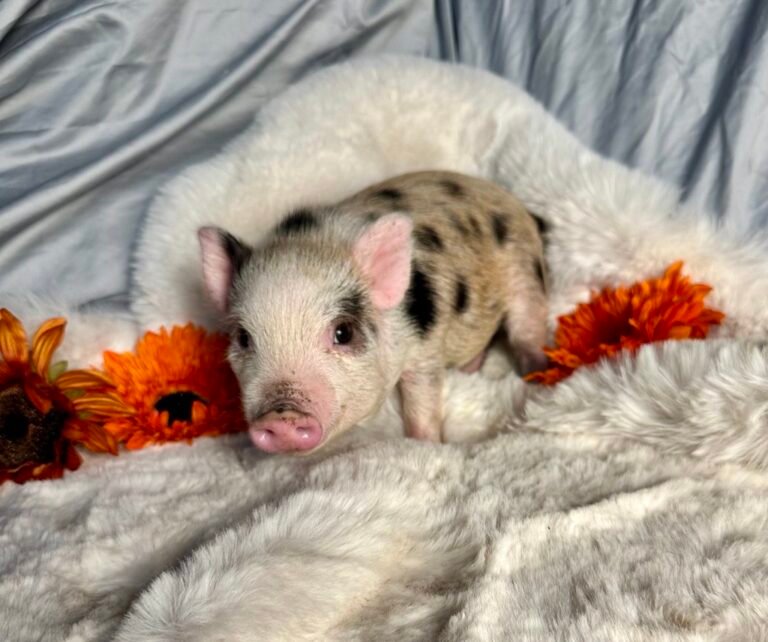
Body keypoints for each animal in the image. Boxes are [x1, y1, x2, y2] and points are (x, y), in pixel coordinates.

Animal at [198, 171, 548, 454]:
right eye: (244, 338)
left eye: (343, 332)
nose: (281, 417)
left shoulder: (424, 349)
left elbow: (422, 399)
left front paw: (426, 444)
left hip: (524, 269)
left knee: (527, 324)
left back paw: (538, 374)